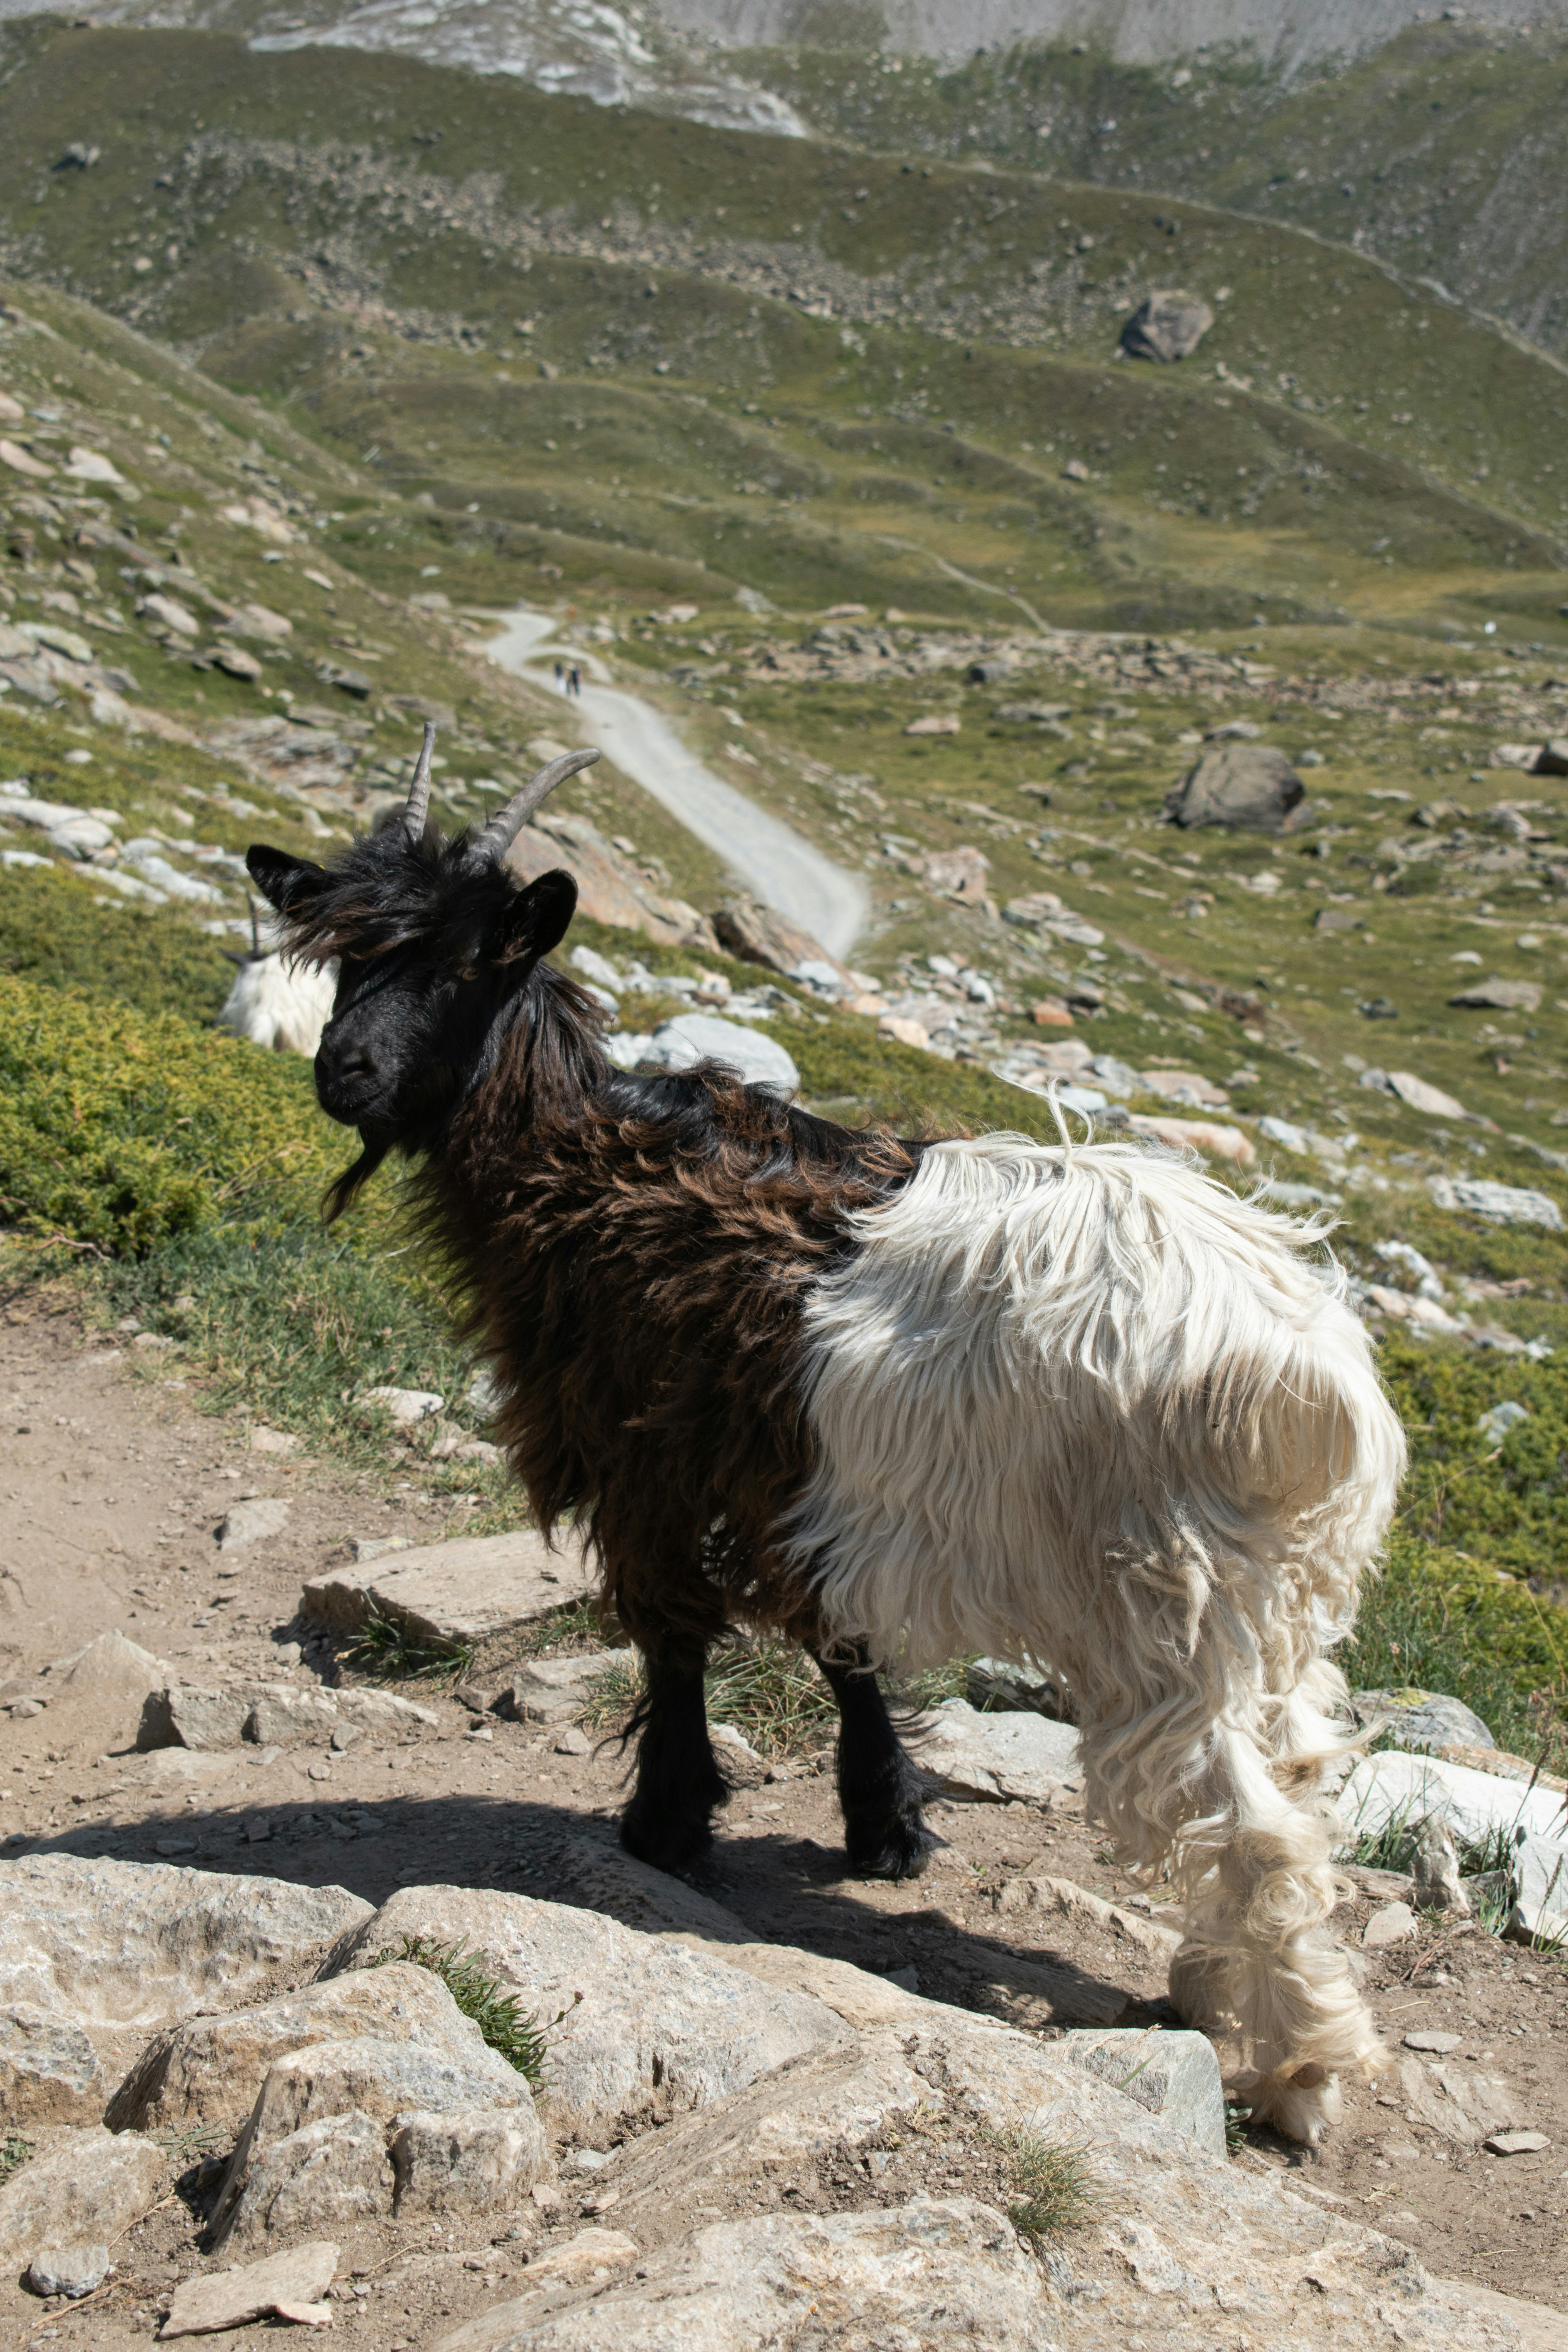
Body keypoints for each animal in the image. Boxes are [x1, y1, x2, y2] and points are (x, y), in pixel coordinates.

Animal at [247, 726, 1406, 2146]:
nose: (342, 1070)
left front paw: (667, 1822)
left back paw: (1297, 2077)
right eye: (347, 955)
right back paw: (1217, 1985)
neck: (586, 1167)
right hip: (1277, 1598)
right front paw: (883, 1821)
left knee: (1253, 1818)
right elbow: (840, 1644)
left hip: (1167, 1597)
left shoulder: (650, 1456)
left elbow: (674, 1638)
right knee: (1295, 1778)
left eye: (474, 960)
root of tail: (1310, 1368)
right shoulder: (796, 1483)